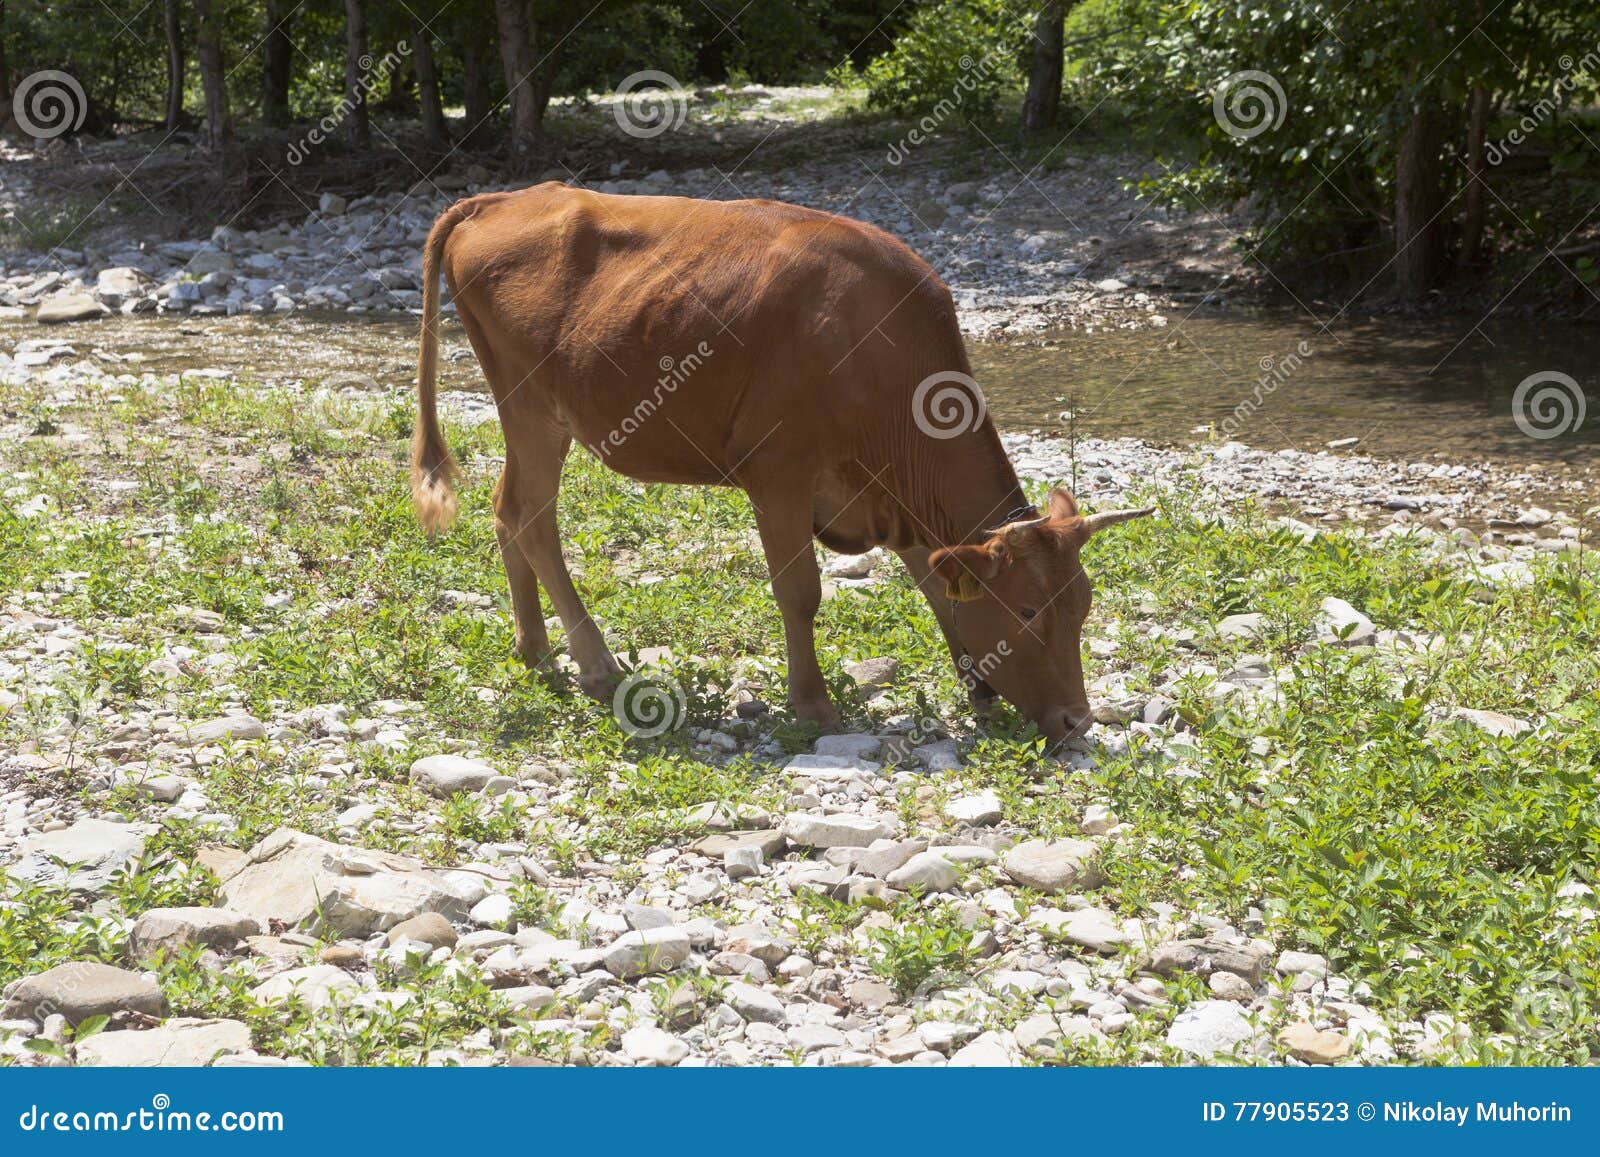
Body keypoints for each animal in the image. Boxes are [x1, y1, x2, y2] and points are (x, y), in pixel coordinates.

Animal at [412, 183, 1152, 739]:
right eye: (1027, 610)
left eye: (1083, 604)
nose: (1078, 720)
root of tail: (508, 197)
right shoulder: (778, 474)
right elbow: (800, 594)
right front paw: (813, 704)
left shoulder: (897, 502)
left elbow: (938, 591)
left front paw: (978, 691)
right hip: (531, 406)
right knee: (532, 517)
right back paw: (595, 663)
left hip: (533, 414)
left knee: (507, 509)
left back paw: (535, 649)